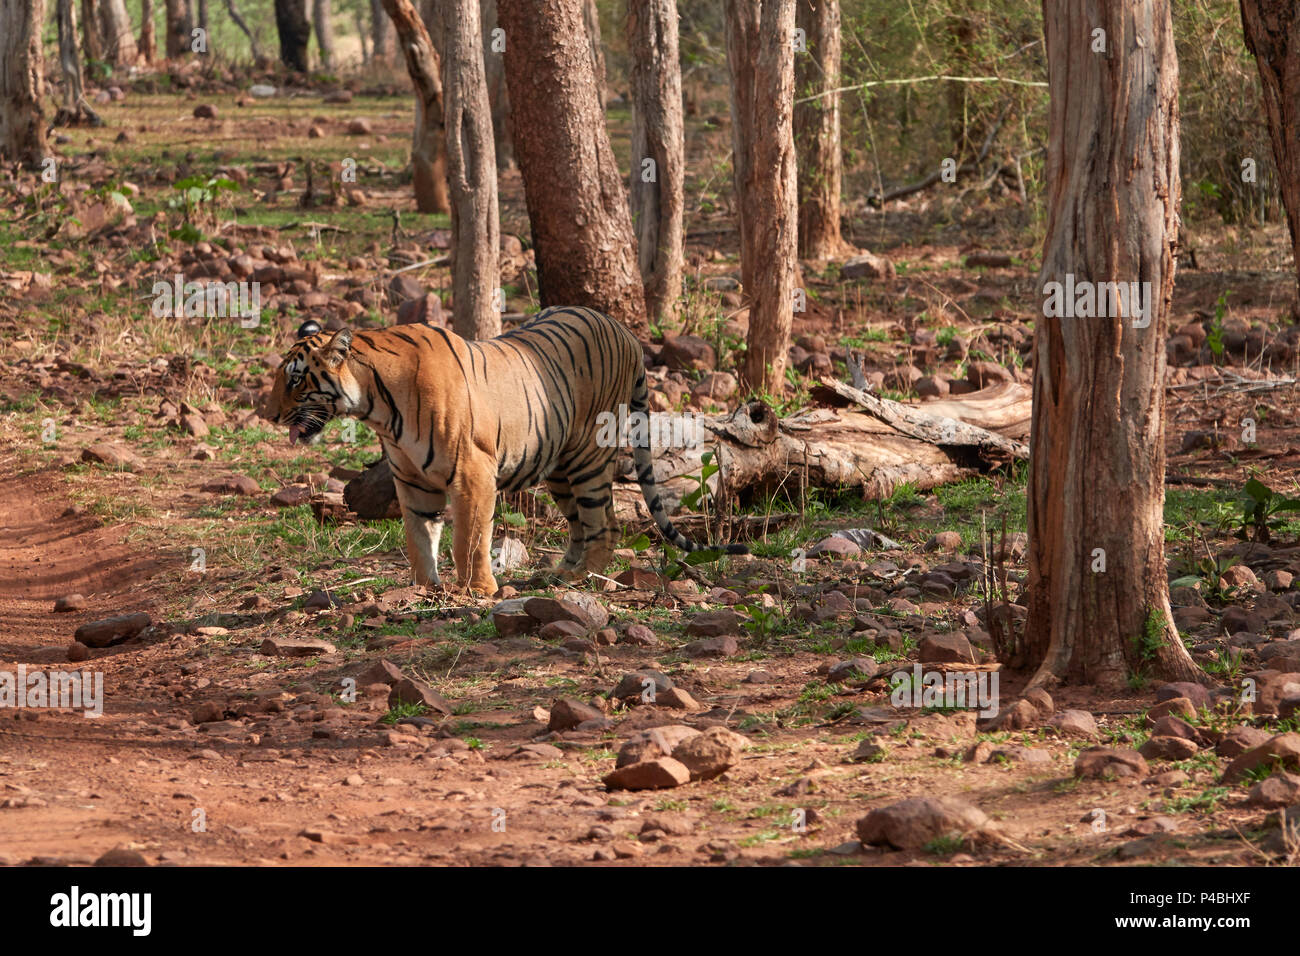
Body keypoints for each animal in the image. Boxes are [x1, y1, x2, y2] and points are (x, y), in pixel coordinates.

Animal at [261, 305, 748, 595]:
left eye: (296, 380)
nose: (270, 415)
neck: (376, 405)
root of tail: (624, 331)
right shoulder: (413, 481)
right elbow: (419, 537)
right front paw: (424, 588)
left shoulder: (472, 471)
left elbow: (470, 537)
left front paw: (476, 590)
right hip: (558, 466)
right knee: (580, 524)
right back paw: (559, 572)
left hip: (589, 455)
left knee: (605, 523)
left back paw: (583, 578)